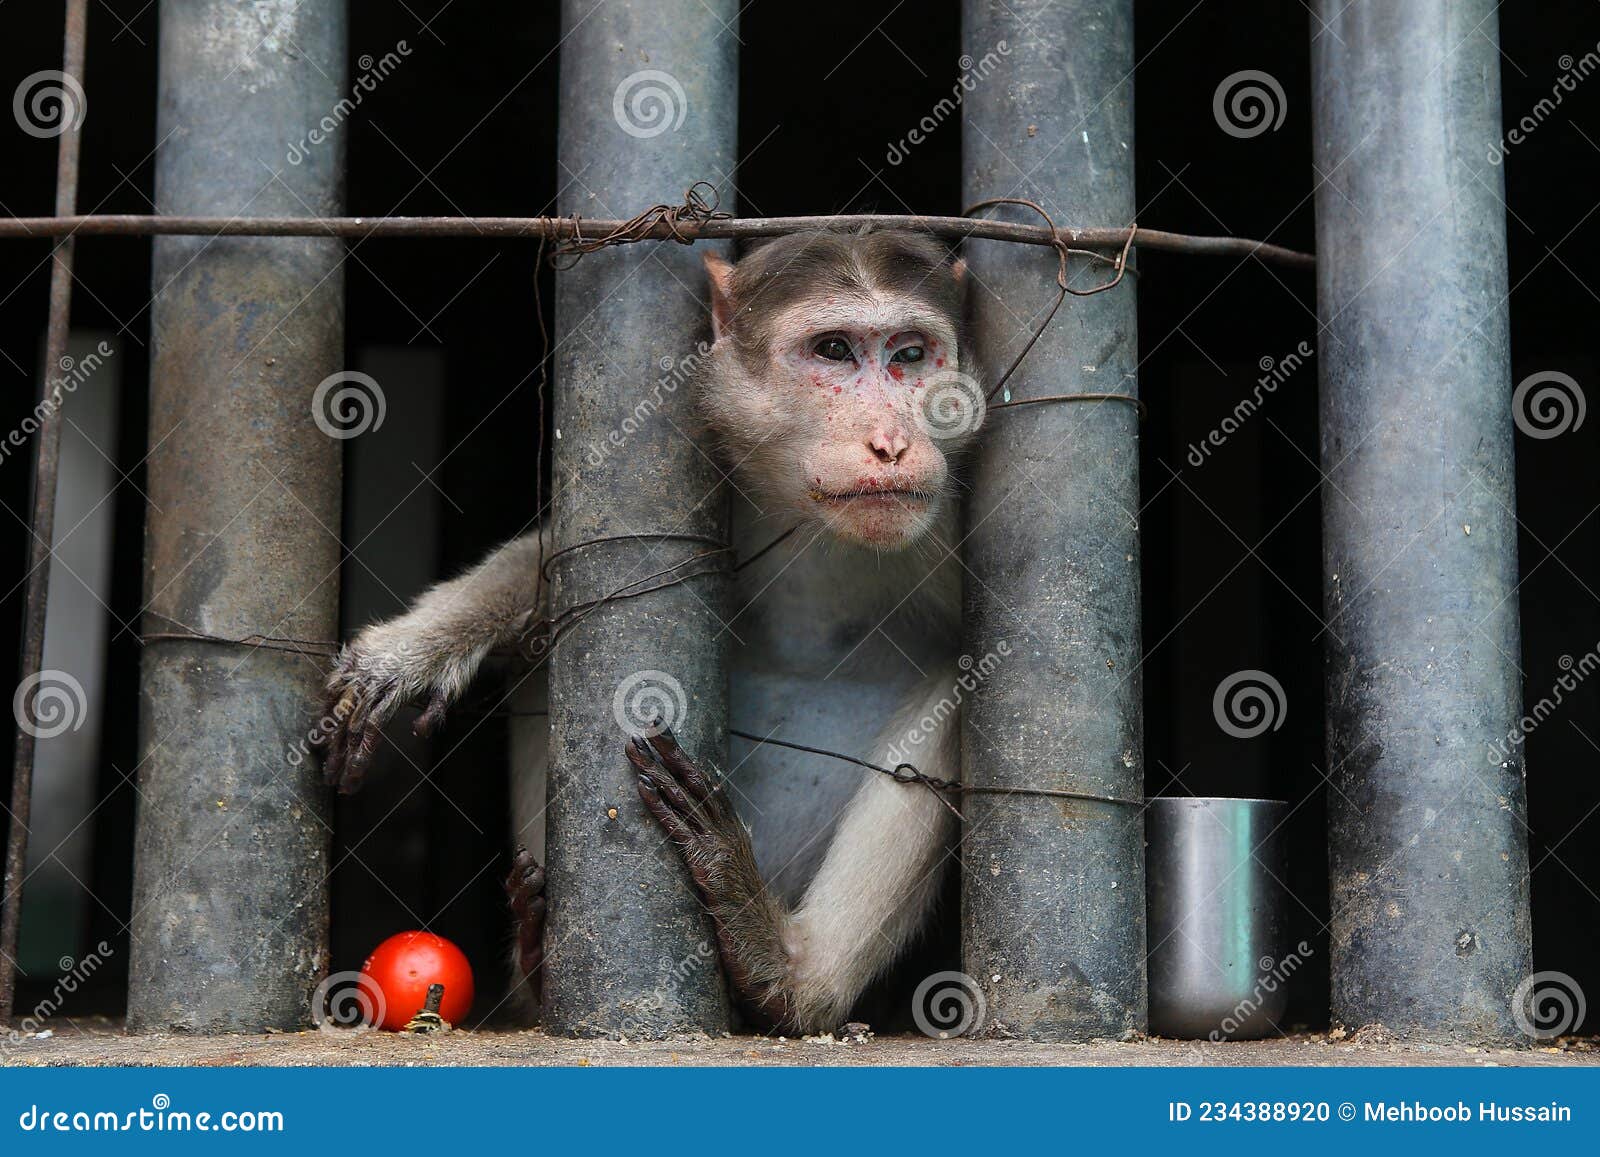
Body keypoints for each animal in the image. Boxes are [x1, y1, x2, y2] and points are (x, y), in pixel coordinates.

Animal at [318, 229, 981, 1033]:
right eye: (834, 350)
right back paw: (543, 959)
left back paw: (792, 975)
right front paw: (411, 651)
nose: (890, 443)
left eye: (911, 355)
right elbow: (572, 569)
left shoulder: (947, 518)